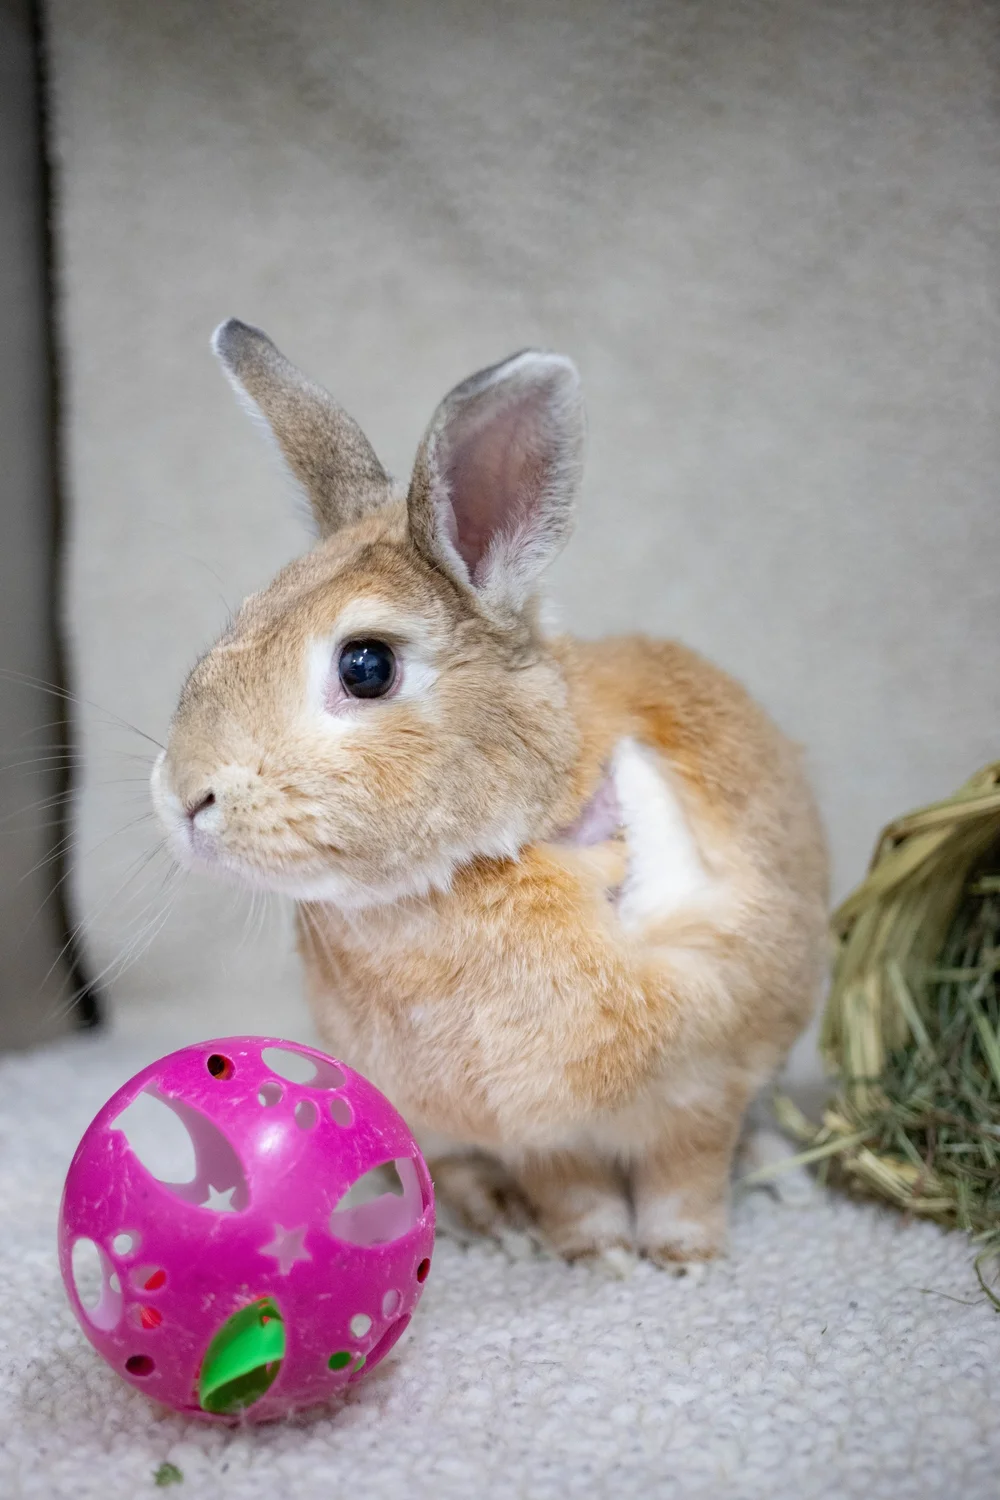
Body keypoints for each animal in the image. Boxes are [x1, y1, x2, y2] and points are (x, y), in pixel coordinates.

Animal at [152, 318, 829, 1272]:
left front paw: (684, 1259)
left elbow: (684, 1178)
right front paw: (595, 1255)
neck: (476, 862)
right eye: (238, 624)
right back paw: (495, 1219)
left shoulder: (702, 1086)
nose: (184, 797)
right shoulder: (539, 1135)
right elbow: (574, 1193)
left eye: (366, 666)